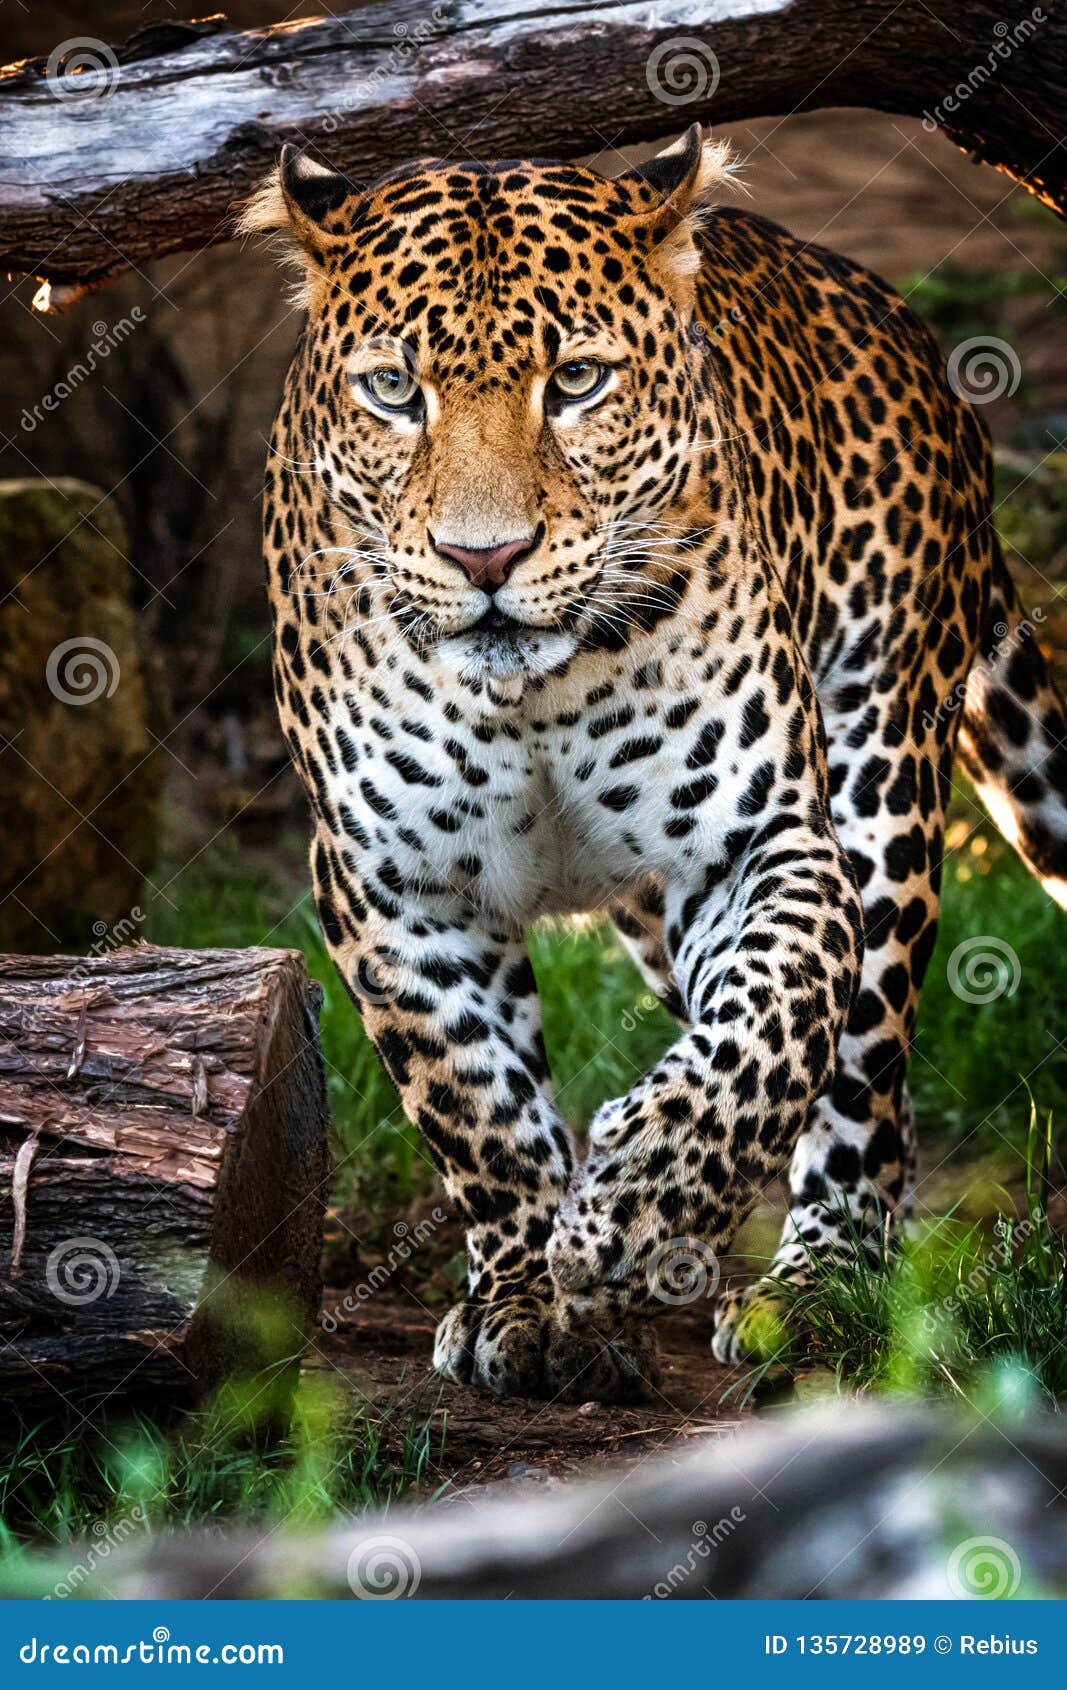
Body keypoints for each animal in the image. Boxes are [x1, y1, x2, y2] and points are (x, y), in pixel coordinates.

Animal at [243, 125, 1067, 1402]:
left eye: (576, 381)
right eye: (393, 392)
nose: (485, 557)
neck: (530, 695)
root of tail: (880, 307)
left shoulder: (756, 840)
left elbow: (773, 1025)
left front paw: (631, 1210)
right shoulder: (390, 889)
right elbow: (476, 1102)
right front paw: (529, 1293)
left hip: (880, 759)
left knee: (862, 1060)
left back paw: (819, 1283)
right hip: (646, 914)